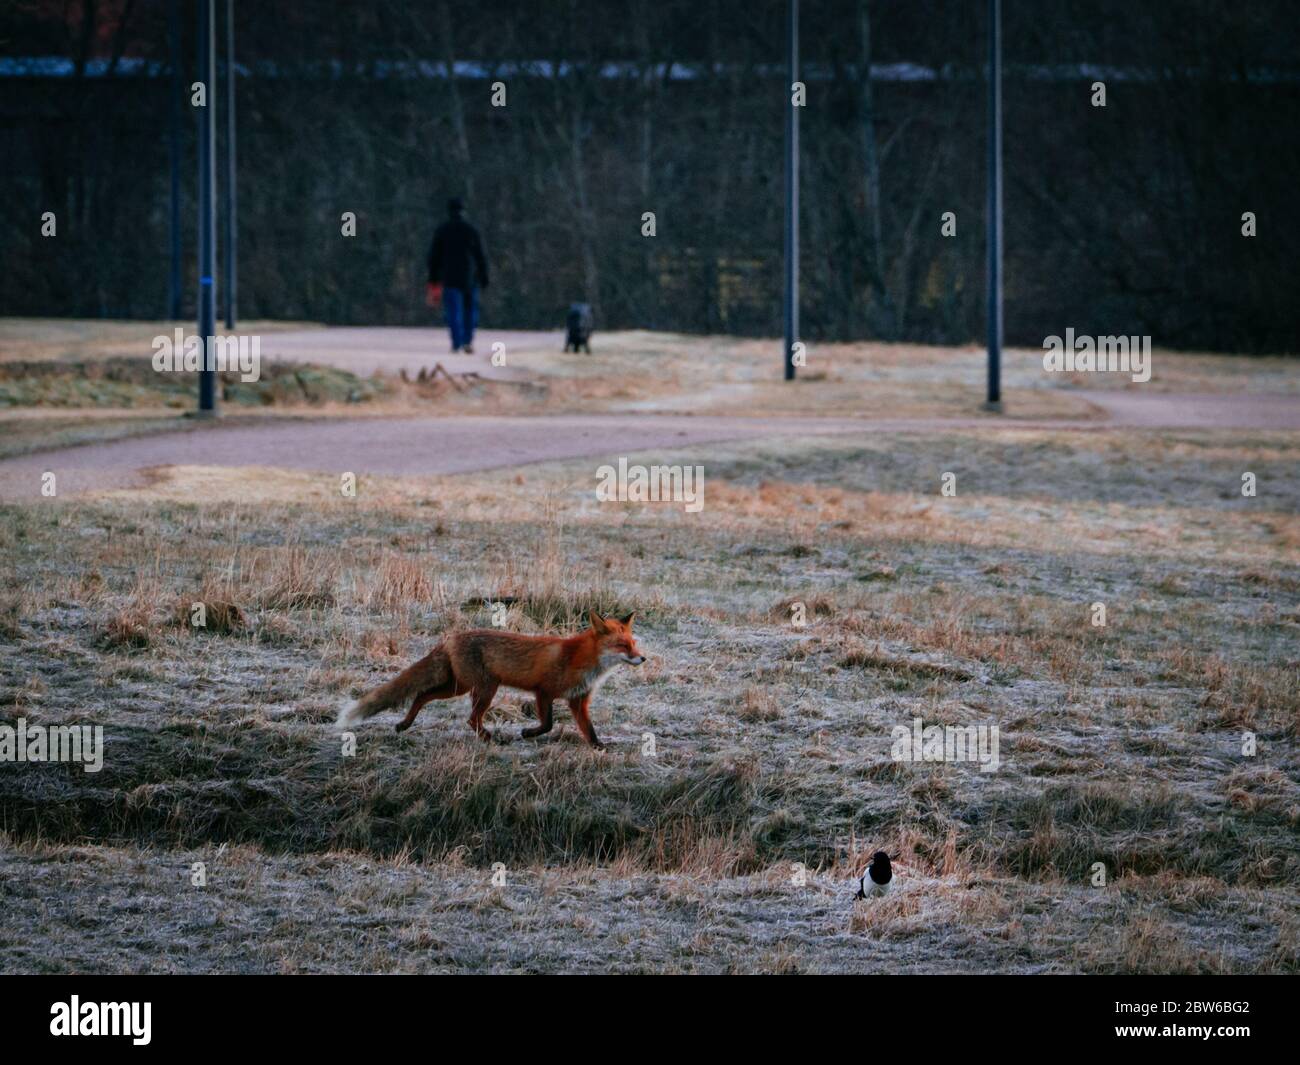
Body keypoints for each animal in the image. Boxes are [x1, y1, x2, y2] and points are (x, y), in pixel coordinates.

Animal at [336, 610, 645, 749]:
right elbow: (547, 724)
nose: (642, 658)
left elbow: (588, 729)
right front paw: (527, 733)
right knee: (470, 719)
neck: (582, 660)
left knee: (423, 695)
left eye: (633, 643)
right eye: (622, 646)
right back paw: (489, 739)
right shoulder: (543, 691)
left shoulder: (578, 701)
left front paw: (599, 747)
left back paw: (405, 724)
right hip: (484, 689)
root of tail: (451, 638)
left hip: (459, 687)